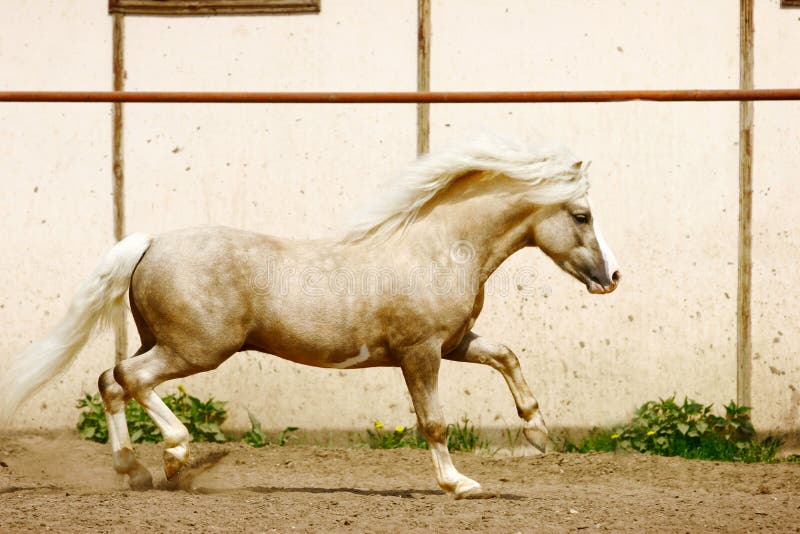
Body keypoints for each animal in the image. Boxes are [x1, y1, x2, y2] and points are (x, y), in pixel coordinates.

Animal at [0, 135, 620, 498]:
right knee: (130, 379)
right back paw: (175, 458)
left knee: (110, 380)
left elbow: (507, 356)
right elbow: (434, 422)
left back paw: (135, 470)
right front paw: (459, 483)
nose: (612, 277)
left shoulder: (455, 342)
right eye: (582, 215)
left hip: (162, 341)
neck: (439, 248)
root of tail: (150, 241)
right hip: (196, 349)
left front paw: (538, 434)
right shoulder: (420, 353)